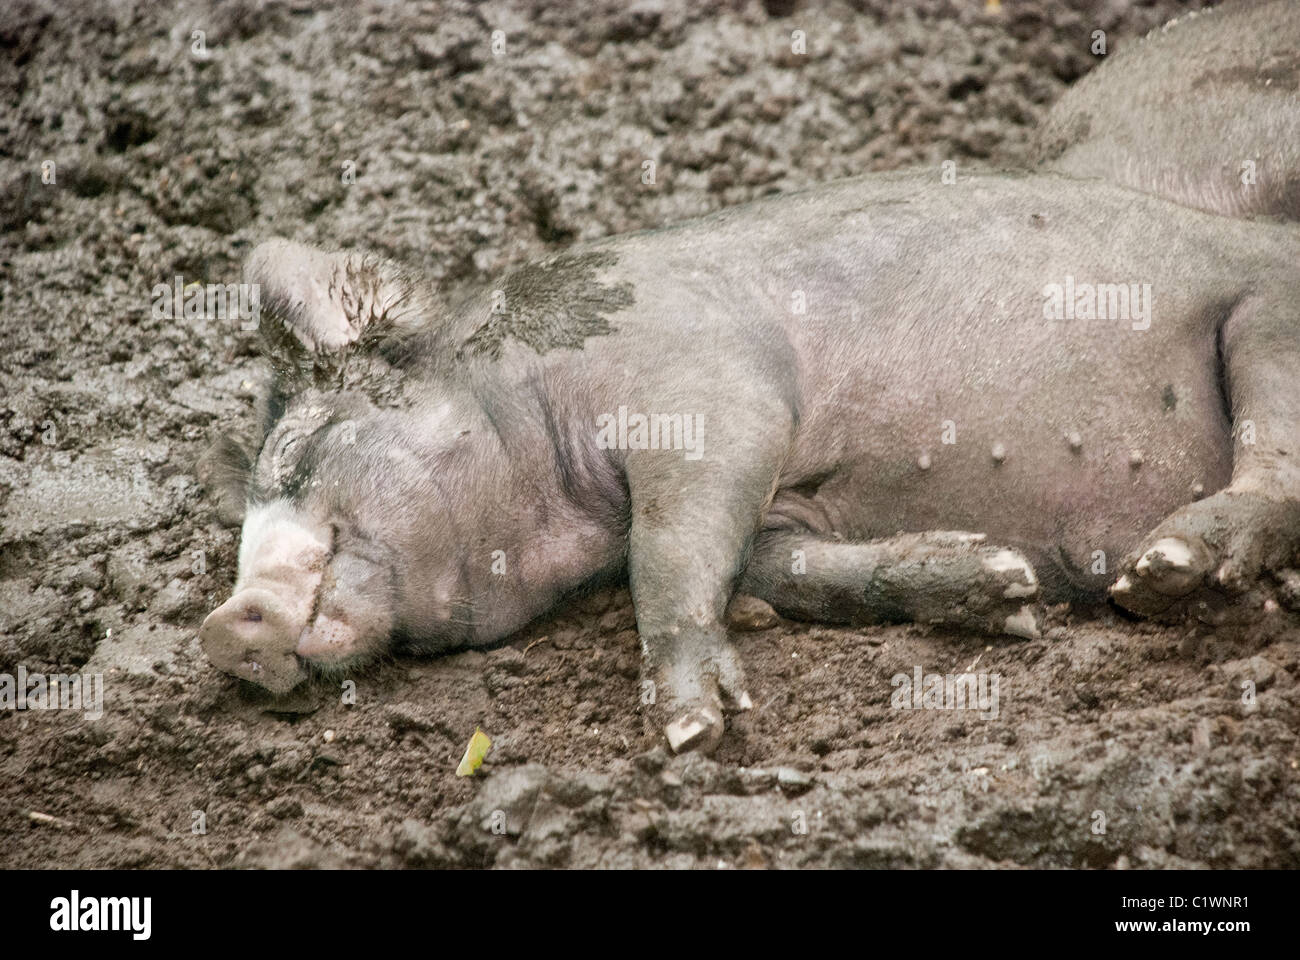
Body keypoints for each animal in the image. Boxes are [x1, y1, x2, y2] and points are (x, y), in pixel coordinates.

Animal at [199, 171, 1300, 753]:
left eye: (304, 453)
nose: (221, 625)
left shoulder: (710, 391)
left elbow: (668, 551)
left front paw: (693, 732)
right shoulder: (787, 511)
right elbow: (782, 570)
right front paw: (1004, 589)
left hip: (1267, 322)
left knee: (1273, 468)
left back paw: (1166, 574)